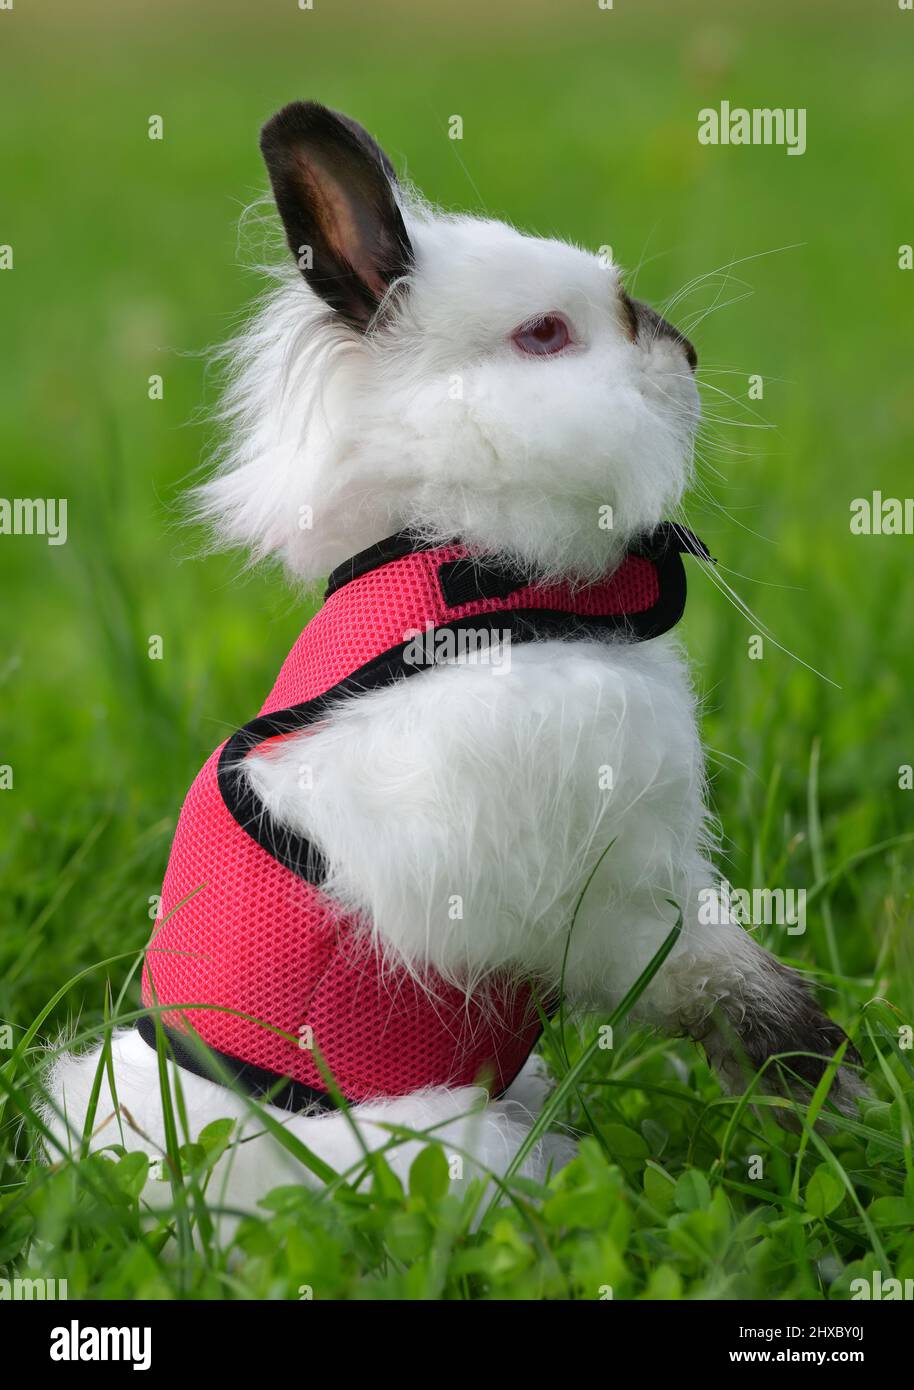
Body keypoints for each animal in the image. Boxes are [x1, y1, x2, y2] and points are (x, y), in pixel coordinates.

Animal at [44, 101, 863, 1214]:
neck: (470, 569)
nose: (687, 353)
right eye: (544, 334)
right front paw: (827, 1091)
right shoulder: (618, 890)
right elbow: (721, 981)